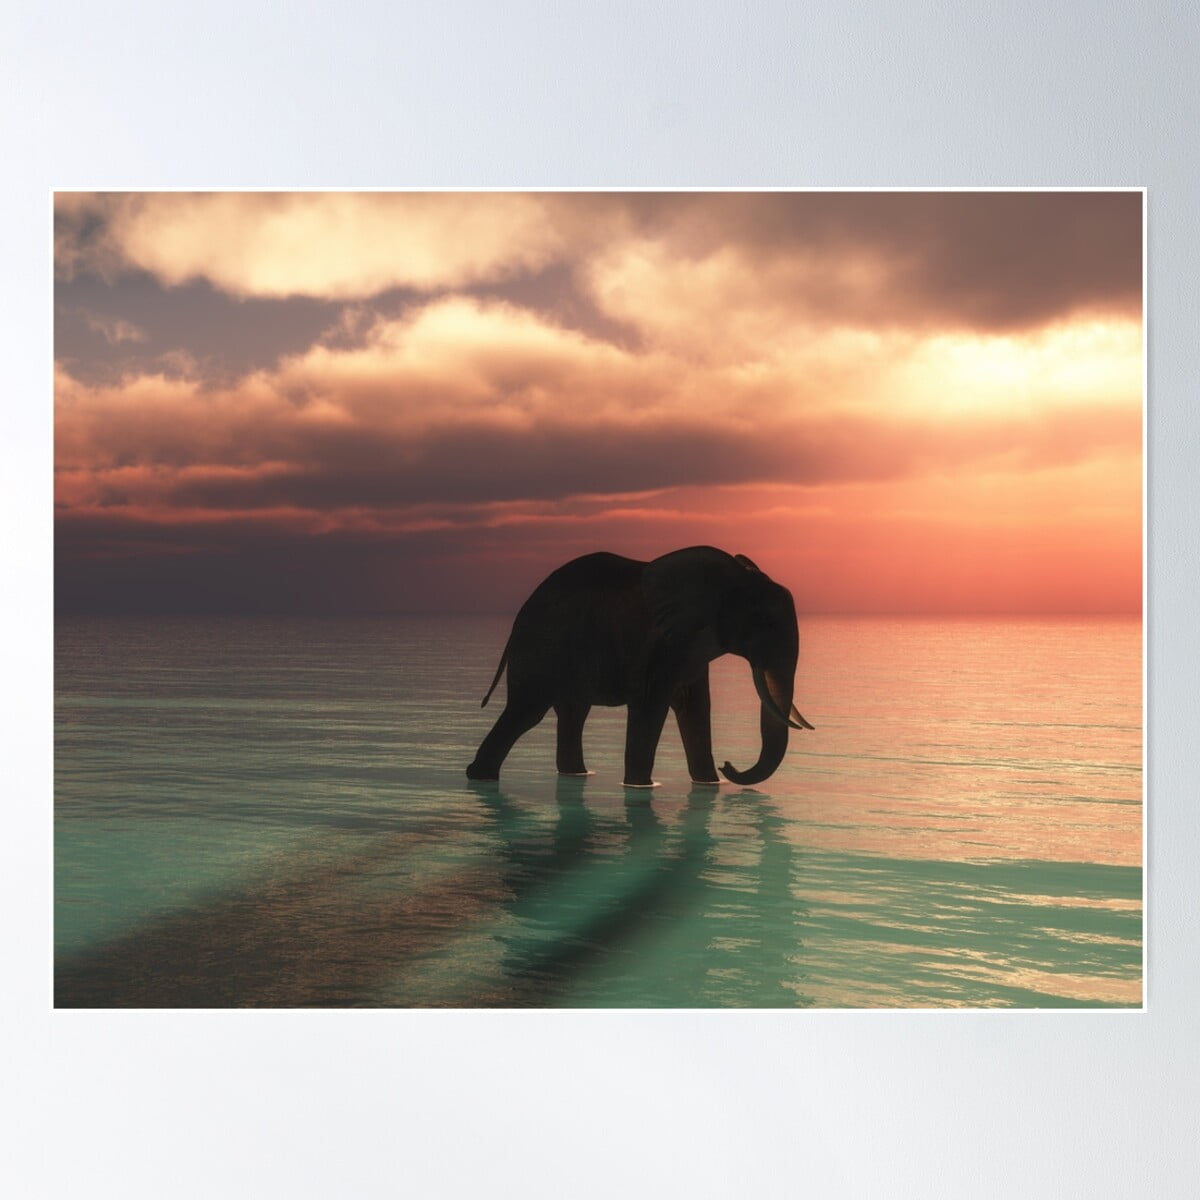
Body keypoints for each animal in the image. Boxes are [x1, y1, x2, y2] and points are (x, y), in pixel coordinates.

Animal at [466, 545, 813, 788]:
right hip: (541, 648)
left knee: (572, 712)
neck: (732, 575)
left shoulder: (690, 647)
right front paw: (639, 787)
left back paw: (575, 775)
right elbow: (650, 706)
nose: (728, 766)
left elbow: (695, 708)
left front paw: (708, 784)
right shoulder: (658, 645)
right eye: (766, 621)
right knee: (526, 712)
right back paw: (480, 777)